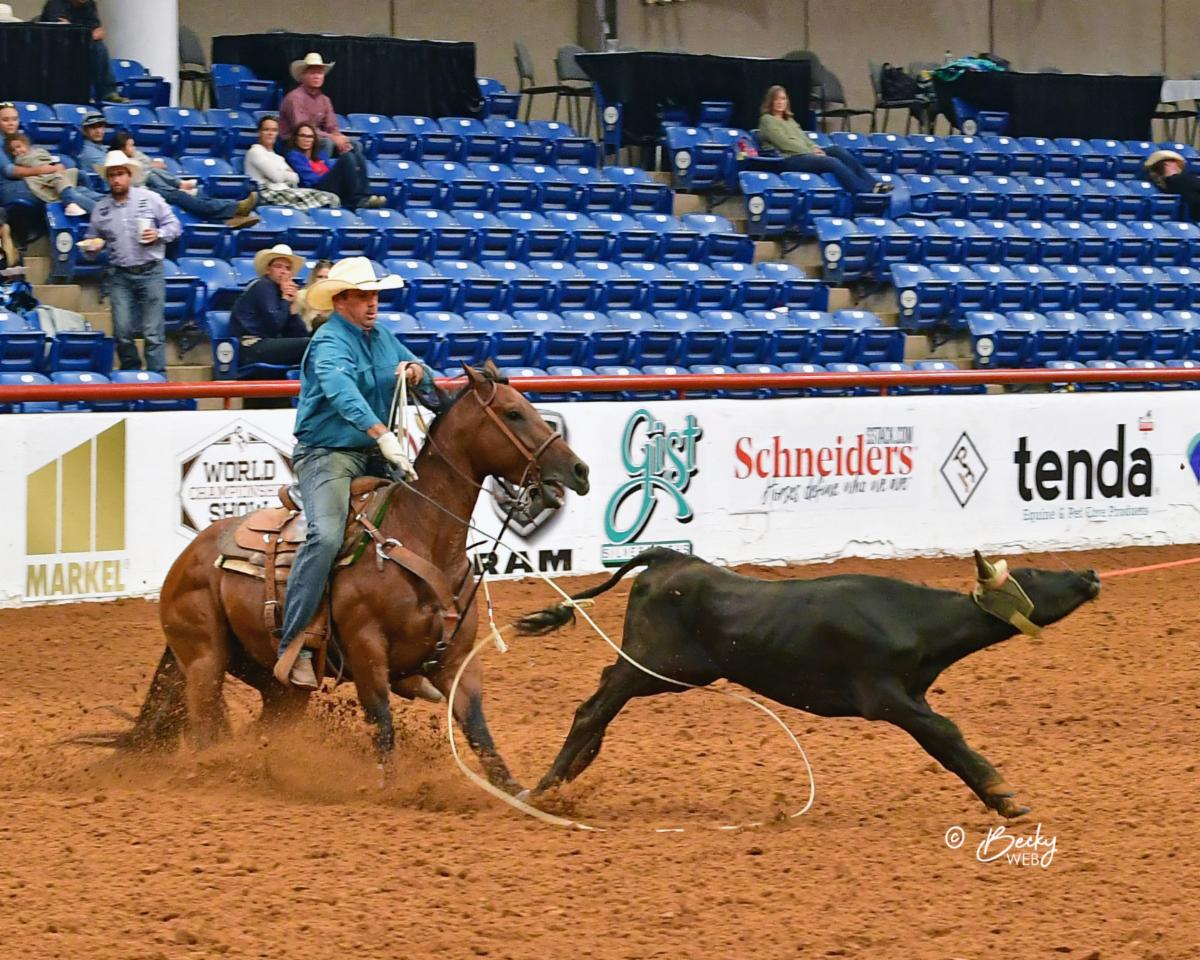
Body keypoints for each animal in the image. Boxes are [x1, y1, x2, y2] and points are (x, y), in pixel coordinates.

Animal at [101, 362, 589, 793]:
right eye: (512, 413)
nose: (579, 471)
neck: (420, 538)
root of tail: (185, 560)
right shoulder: (366, 648)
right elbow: (383, 724)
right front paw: (389, 788)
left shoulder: (456, 660)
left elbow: (478, 731)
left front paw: (521, 793)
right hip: (205, 659)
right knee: (205, 730)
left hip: (275, 684)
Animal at [516, 548, 1101, 819]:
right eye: (1031, 574)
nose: (1091, 575)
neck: (914, 618)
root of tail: (668, 558)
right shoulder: (884, 697)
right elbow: (948, 733)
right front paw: (1003, 793)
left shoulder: (912, 696)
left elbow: (944, 745)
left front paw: (997, 797)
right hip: (656, 665)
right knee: (593, 707)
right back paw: (544, 787)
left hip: (664, 671)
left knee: (601, 695)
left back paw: (572, 770)